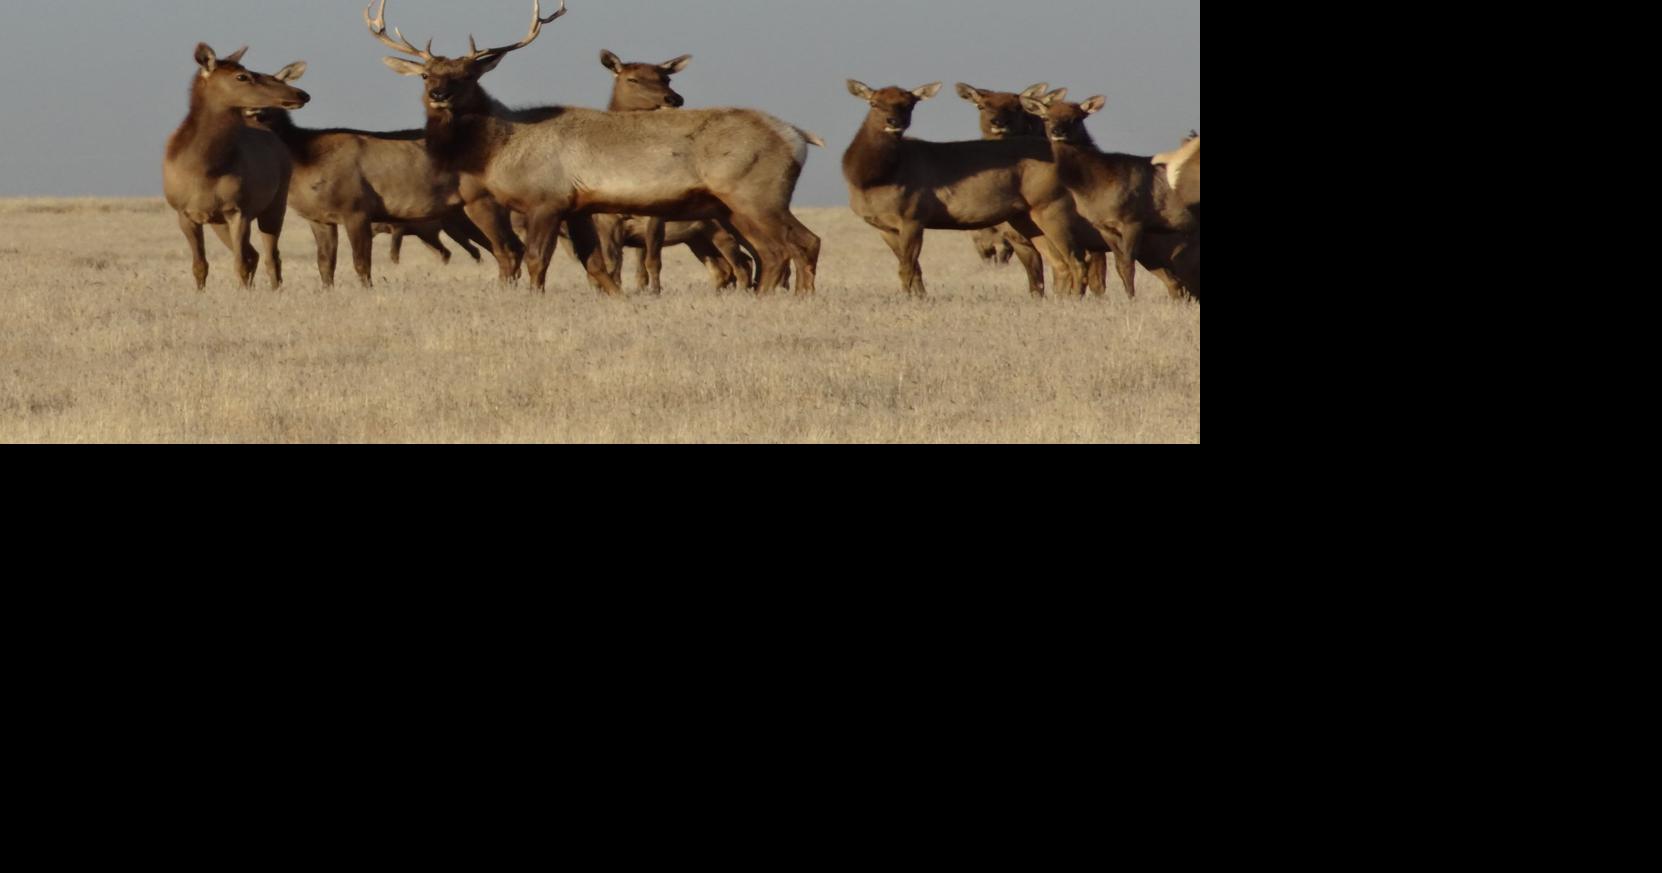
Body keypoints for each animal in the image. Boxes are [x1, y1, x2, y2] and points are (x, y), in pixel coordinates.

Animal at [163, 44, 310, 290]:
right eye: (242, 76)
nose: (302, 94)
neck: (203, 170)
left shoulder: (239, 210)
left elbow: (239, 264)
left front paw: (243, 294)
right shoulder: (184, 212)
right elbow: (200, 265)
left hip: (276, 201)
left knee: (271, 256)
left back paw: (275, 291)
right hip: (219, 221)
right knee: (255, 254)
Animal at [241, 62, 509, 288]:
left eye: (274, 87)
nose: (257, 112)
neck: (305, 160)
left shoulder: (356, 207)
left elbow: (361, 264)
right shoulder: (318, 217)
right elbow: (325, 265)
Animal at [366, 0, 822, 296]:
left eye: (467, 74)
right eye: (426, 75)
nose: (439, 94)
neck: (501, 148)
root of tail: (798, 136)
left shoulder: (546, 198)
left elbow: (537, 260)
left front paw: (533, 302)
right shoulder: (579, 206)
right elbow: (597, 267)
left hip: (755, 193)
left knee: (790, 247)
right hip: (736, 205)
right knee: (790, 248)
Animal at [843, 80, 1090, 298]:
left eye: (909, 104)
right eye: (874, 102)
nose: (894, 121)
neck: (871, 179)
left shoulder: (913, 216)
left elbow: (907, 268)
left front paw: (908, 299)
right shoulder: (884, 226)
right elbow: (915, 269)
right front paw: (919, 298)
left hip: (1050, 205)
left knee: (1075, 259)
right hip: (1024, 217)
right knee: (1058, 262)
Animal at [1021, 93, 1200, 302]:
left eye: (1076, 118)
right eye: (1046, 117)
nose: (1058, 131)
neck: (1095, 187)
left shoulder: (1133, 219)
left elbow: (1127, 264)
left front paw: (1131, 299)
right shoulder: (1104, 226)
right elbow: (1119, 265)